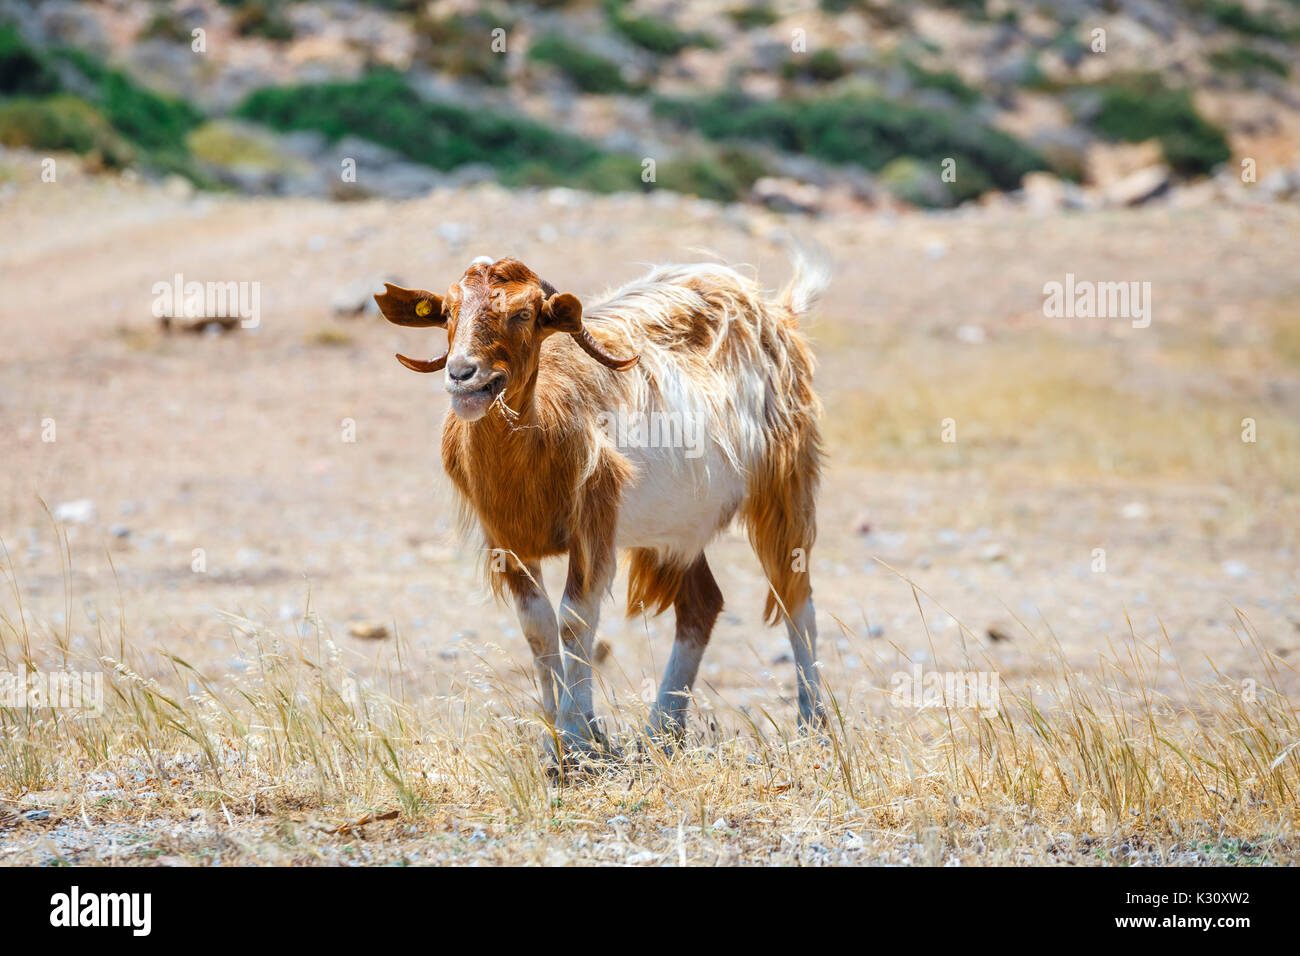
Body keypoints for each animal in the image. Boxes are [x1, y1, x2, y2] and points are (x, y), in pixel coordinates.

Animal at [376, 252, 827, 754]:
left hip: (784, 487)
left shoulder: (593, 526)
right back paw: (660, 730)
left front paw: (577, 738)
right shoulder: (506, 540)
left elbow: (575, 619)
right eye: (448, 313)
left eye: (524, 313)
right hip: (681, 528)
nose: (461, 375)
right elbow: (537, 624)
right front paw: (562, 737)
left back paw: (813, 726)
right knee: (702, 604)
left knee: (795, 598)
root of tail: (777, 314)